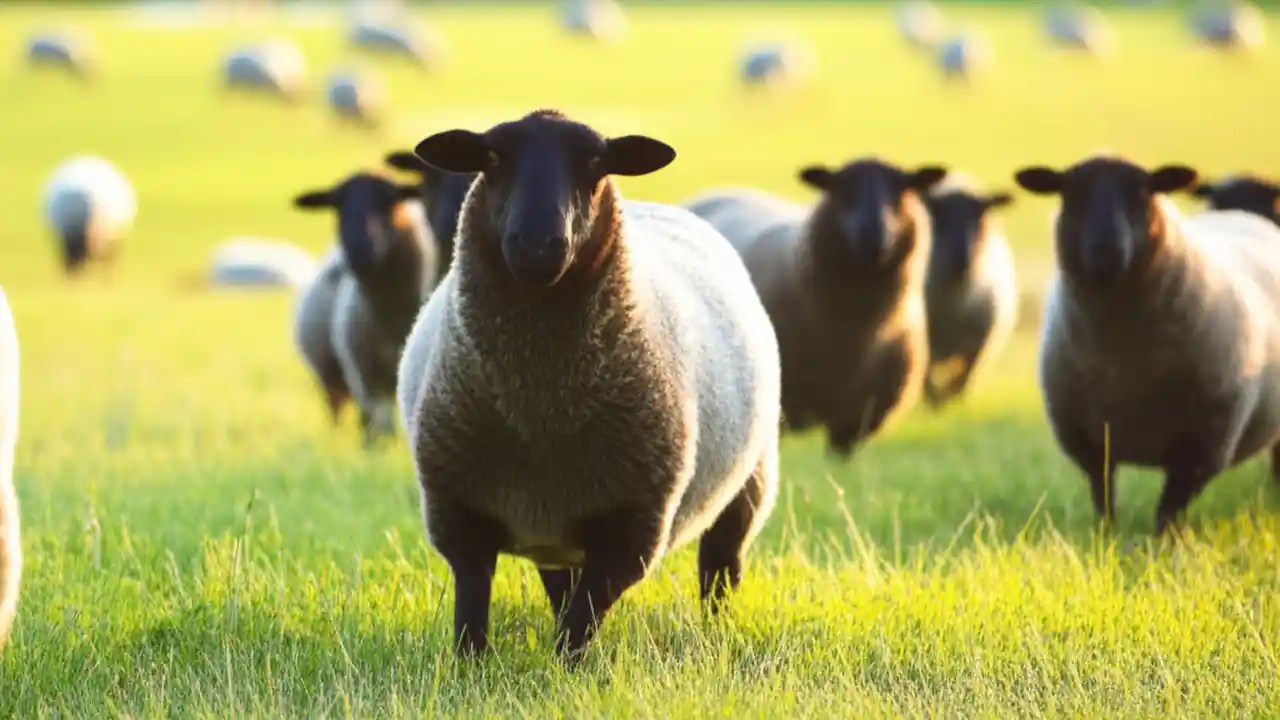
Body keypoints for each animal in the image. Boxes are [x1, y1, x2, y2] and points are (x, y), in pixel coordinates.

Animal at [293, 173, 435, 444]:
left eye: (387, 200)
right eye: (336, 205)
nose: (359, 249)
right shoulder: (364, 373)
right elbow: (378, 421)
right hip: (332, 377)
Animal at [398, 110, 780, 659]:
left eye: (596, 163)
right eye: (491, 158)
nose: (538, 244)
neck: (538, 413)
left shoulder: (632, 527)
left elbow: (581, 624)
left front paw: (563, 671)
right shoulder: (458, 512)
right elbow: (473, 614)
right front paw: (470, 668)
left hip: (750, 480)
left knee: (721, 566)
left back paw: (715, 630)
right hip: (552, 529)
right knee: (562, 586)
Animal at [921, 174, 1018, 406]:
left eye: (980, 215)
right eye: (938, 215)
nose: (962, 259)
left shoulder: (978, 345)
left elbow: (962, 382)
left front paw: (951, 402)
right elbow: (927, 381)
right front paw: (933, 403)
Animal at [1015, 155, 1280, 533]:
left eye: (1143, 194)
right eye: (1071, 195)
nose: (1106, 252)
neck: (1123, 361)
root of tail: (1244, 215)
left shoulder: (1204, 445)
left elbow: (1169, 509)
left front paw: (1163, 543)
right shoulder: (1089, 442)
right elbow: (1104, 498)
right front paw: (1106, 536)